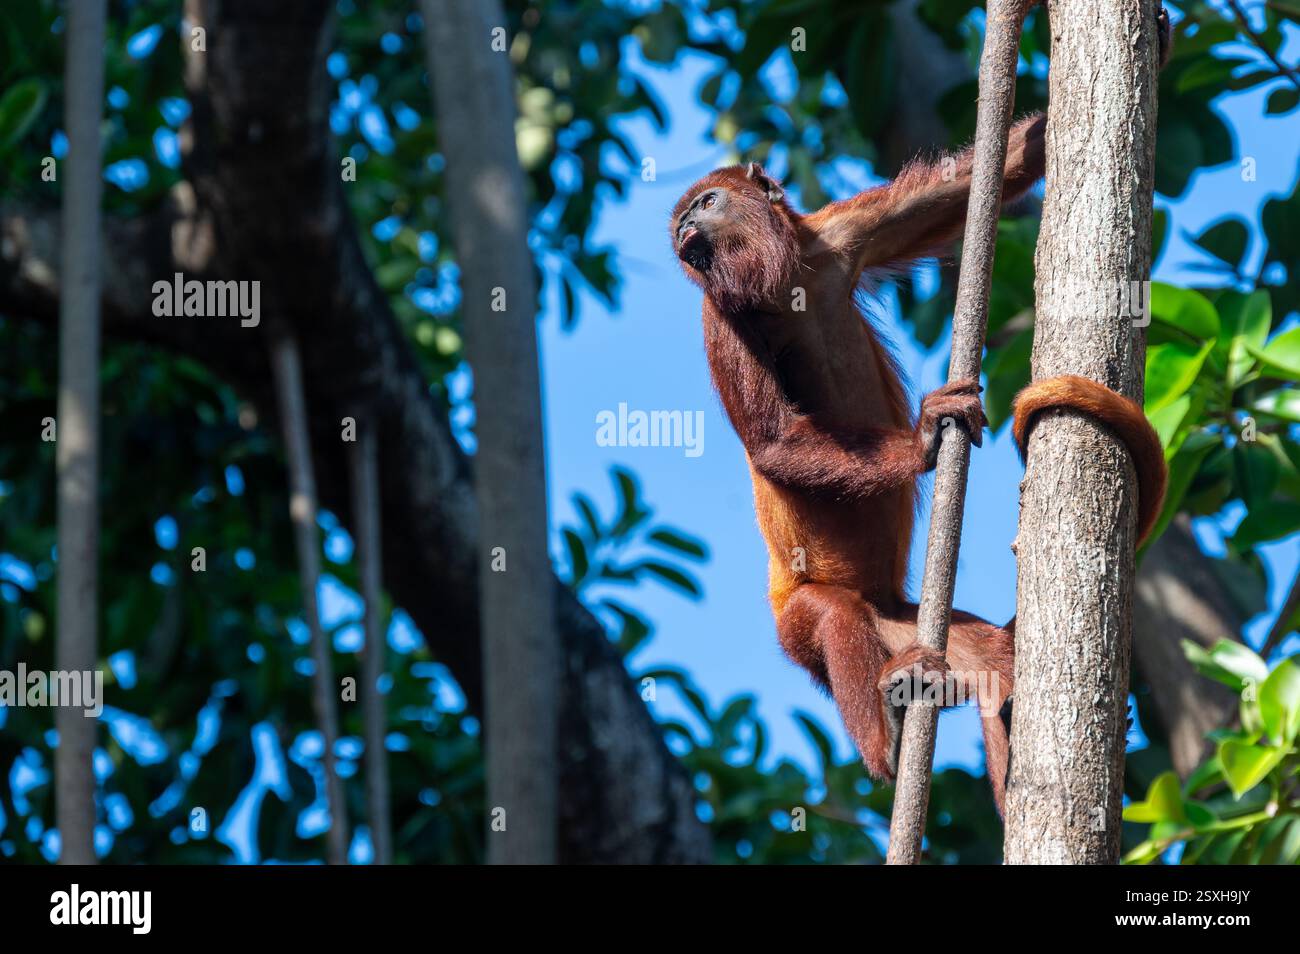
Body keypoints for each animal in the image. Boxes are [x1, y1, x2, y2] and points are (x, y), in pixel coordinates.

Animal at [670, 110, 1168, 814]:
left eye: (706, 203)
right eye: (685, 220)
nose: (685, 230)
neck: (780, 282)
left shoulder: (841, 234)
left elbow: (979, 176)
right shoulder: (718, 315)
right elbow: (773, 441)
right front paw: (926, 437)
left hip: (909, 629)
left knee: (988, 667)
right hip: (796, 627)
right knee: (833, 617)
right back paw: (887, 739)